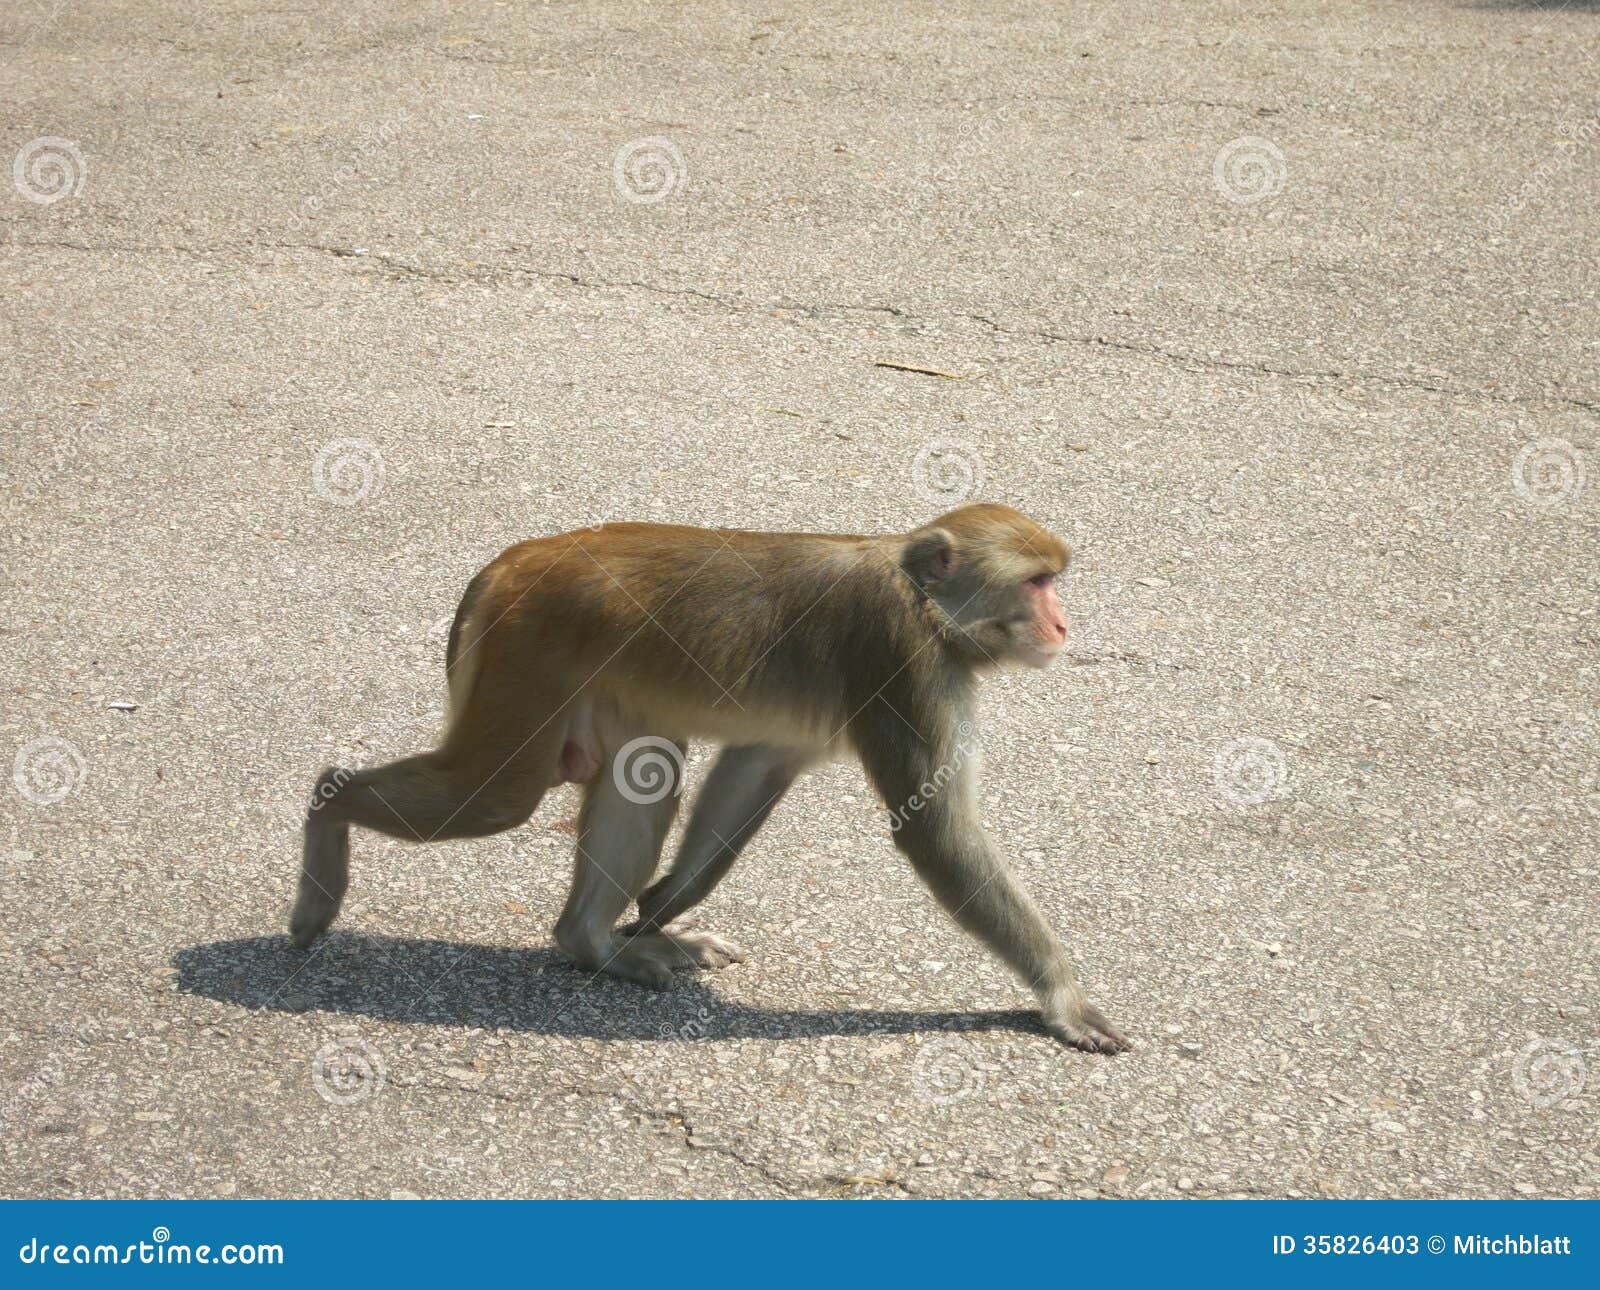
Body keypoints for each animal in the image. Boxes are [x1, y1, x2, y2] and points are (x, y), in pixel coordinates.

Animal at [290, 502, 1130, 1053]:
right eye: (1037, 583)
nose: (1064, 624)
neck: (925, 603)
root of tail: (511, 561)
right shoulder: (903, 664)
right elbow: (934, 827)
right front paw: (1063, 996)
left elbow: (753, 766)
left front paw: (662, 906)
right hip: (525, 655)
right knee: (492, 797)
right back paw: (327, 820)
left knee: (644, 772)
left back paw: (594, 943)